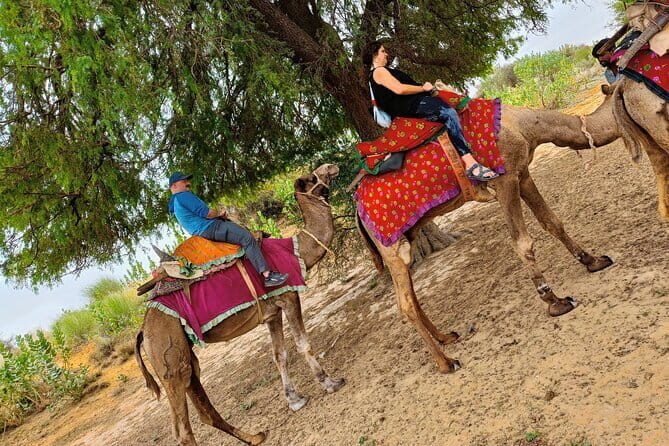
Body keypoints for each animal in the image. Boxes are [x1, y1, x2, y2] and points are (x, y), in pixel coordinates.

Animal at [135, 164, 345, 446]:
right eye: (312, 178)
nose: (331, 167)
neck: (296, 250)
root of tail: (143, 331)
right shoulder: (290, 297)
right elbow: (303, 344)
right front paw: (330, 383)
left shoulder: (272, 312)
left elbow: (279, 355)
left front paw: (295, 400)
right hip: (166, 352)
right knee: (182, 429)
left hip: (183, 355)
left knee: (204, 408)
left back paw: (256, 435)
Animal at [357, 88, 622, 374]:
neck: (522, 125)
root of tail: (358, 211)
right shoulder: (505, 179)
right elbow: (522, 242)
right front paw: (556, 301)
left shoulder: (522, 173)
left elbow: (552, 222)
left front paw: (594, 261)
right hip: (390, 244)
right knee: (405, 304)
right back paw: (447, 362)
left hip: (406, 236)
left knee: (412, 296)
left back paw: (447, 336)